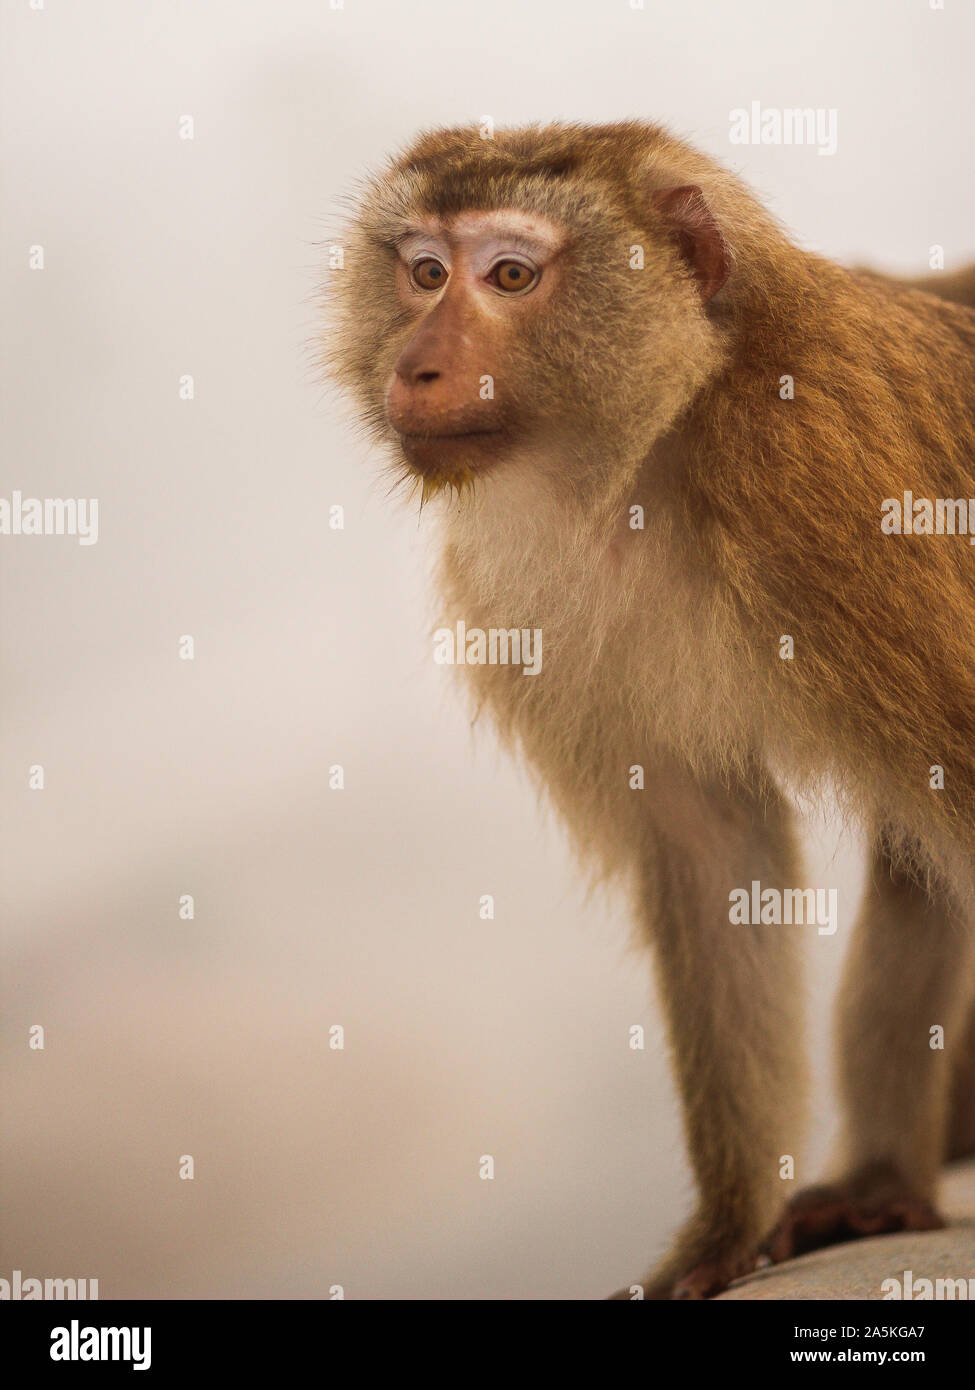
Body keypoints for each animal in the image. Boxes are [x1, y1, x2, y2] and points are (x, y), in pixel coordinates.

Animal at [325, 120, 975, 1299]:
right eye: (425, 273)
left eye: (511, 276)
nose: (417, 363)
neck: (662, 443)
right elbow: (710, 843)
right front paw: (721, 1231)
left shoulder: (819, 491)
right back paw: (879, 1181)